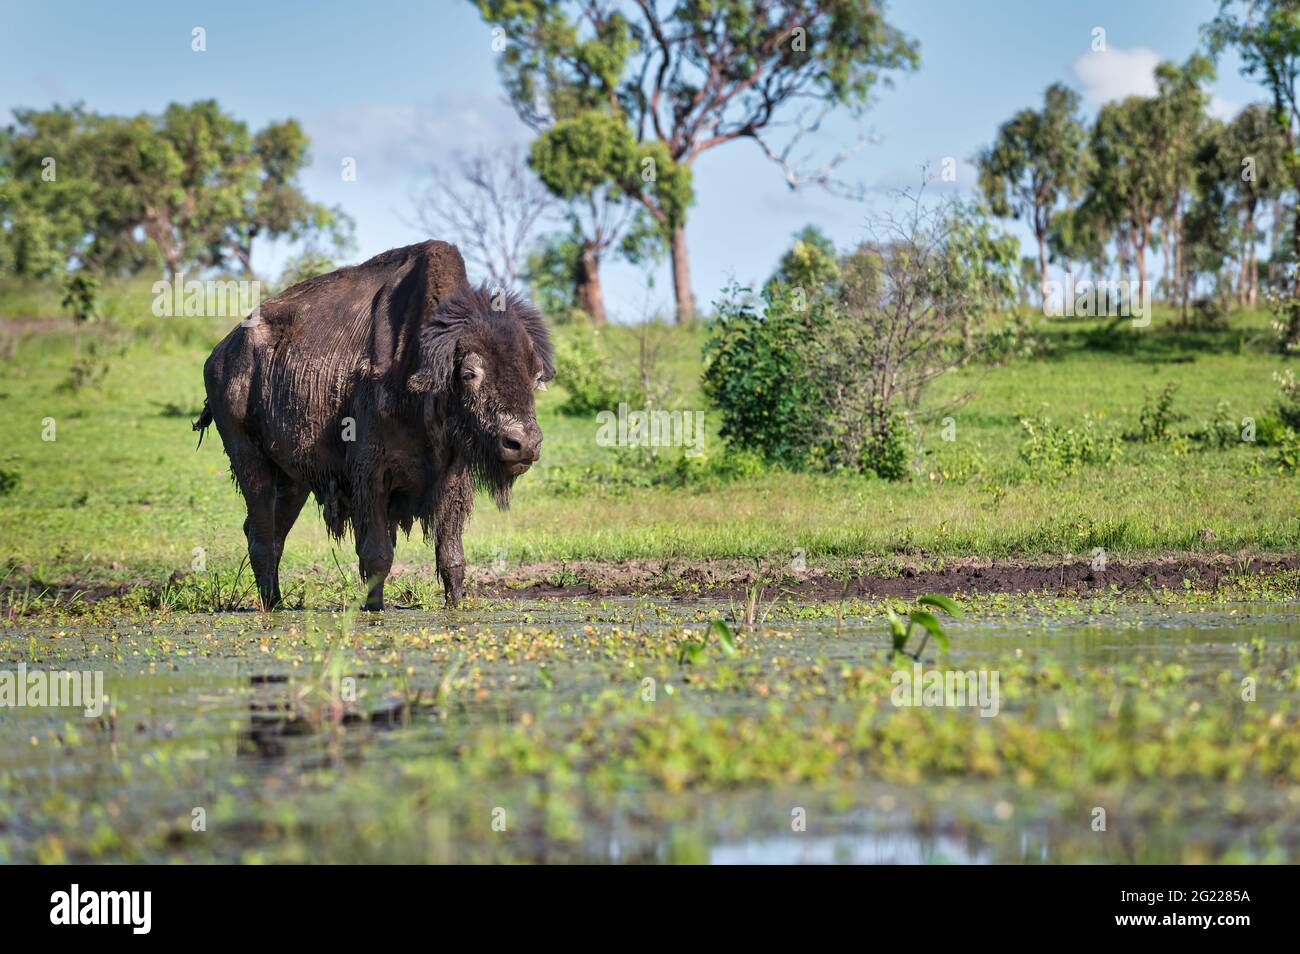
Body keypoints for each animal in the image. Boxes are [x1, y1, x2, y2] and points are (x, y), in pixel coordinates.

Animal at [194, 240, 553, 610]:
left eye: (535, 375)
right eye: (469, 374)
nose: (523, 443)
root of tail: (219, 355)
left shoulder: (452, 478)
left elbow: (451, 556)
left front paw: (454, 606)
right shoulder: (370, 476)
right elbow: (378, 554)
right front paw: (373, 607)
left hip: (293, 480)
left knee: (270, 532)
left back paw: (276, 601)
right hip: (250, 461)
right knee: (262, 535)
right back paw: (272, 605)